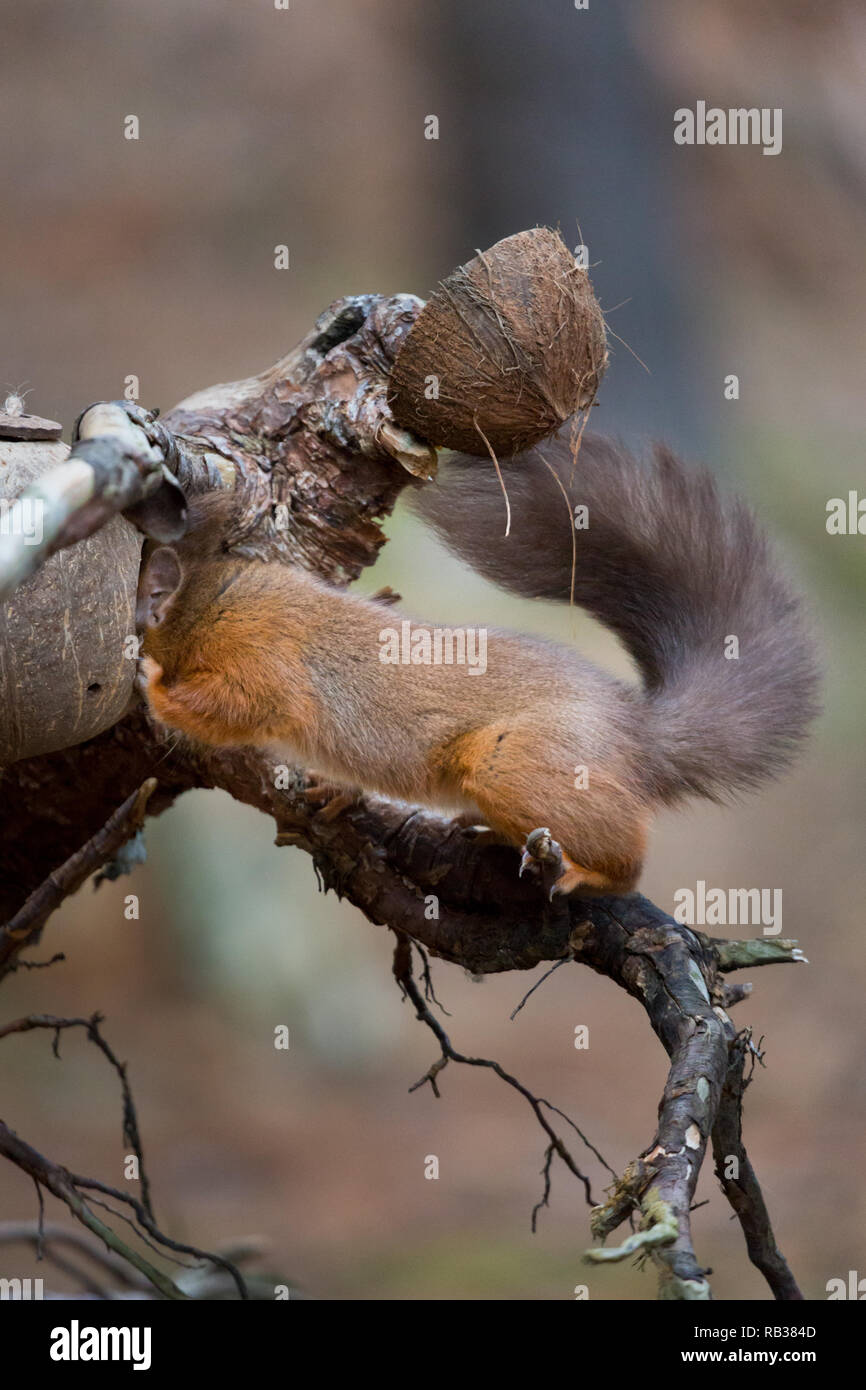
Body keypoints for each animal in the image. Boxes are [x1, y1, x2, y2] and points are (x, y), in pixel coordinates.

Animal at [136, 428, 820, 895]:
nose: (135, 643)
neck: (213, 595)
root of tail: (637, 733)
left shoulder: (263, 653)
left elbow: (237, 706)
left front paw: (152, 685)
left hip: (519, 764)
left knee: (631, 860)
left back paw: (583, 873)